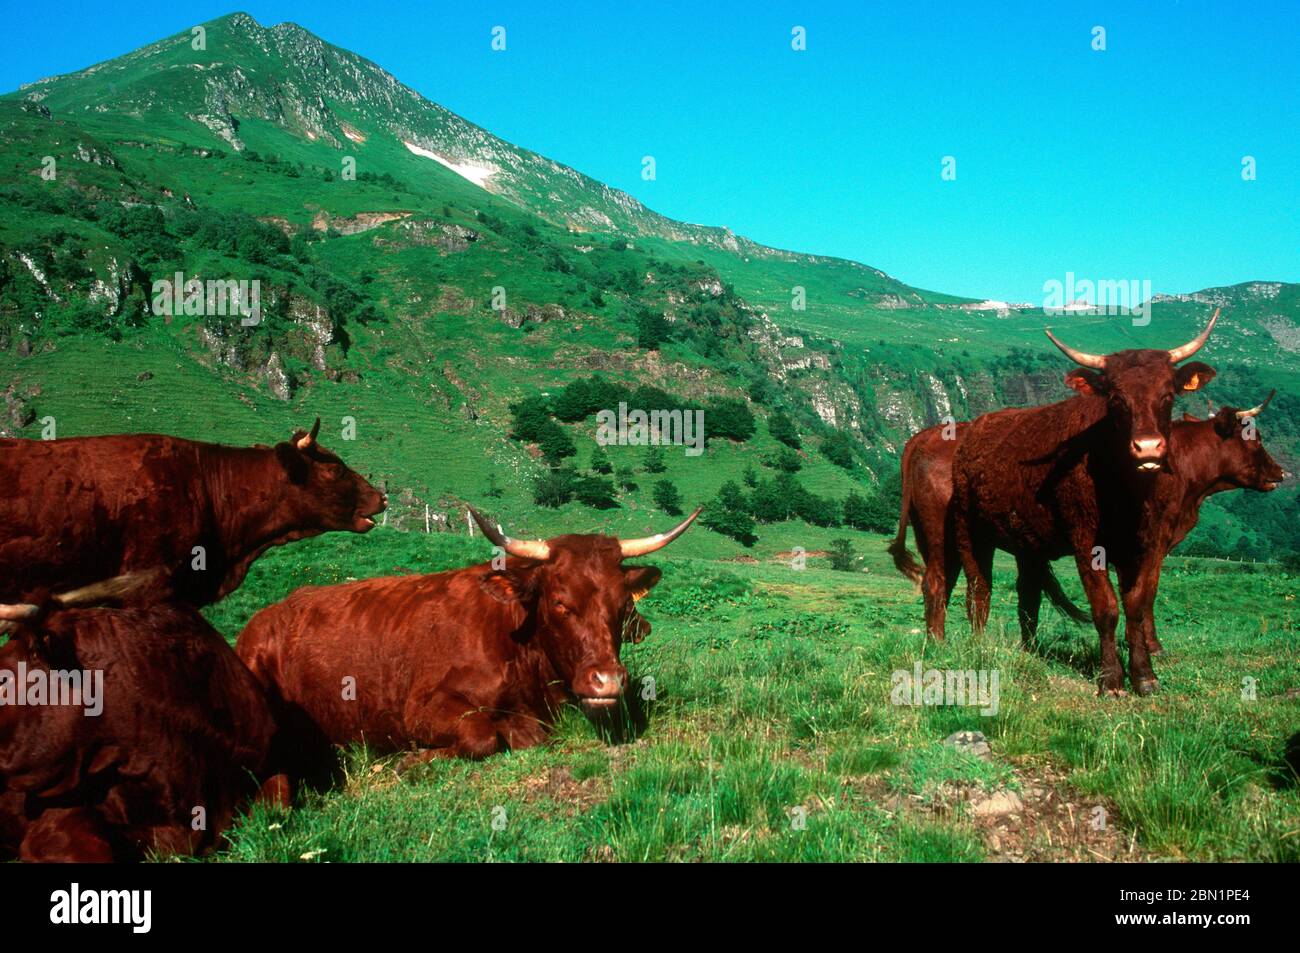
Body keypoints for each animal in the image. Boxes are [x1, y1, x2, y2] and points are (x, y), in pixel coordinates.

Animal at [236, 507, 701, 771]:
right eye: (559, 601)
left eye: (622, 604)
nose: (607, 680)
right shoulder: (420, 707)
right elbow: (481, 735)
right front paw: (411, 760)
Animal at [951, 311, 1220, 695]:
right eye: (1117, 399)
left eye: (1168, 395)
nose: (1148, 448)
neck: (1125, 493)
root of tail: (974, 429)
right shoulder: (1086, 541)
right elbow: (1105, 608)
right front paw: (1111, 680)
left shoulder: (1147, 544)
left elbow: (1138, 604)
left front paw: (1145, 676)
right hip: (969, 530)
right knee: (979, 590)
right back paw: (979, 646)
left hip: (1027, 543)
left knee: (1028, 594)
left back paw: (1031, 650)